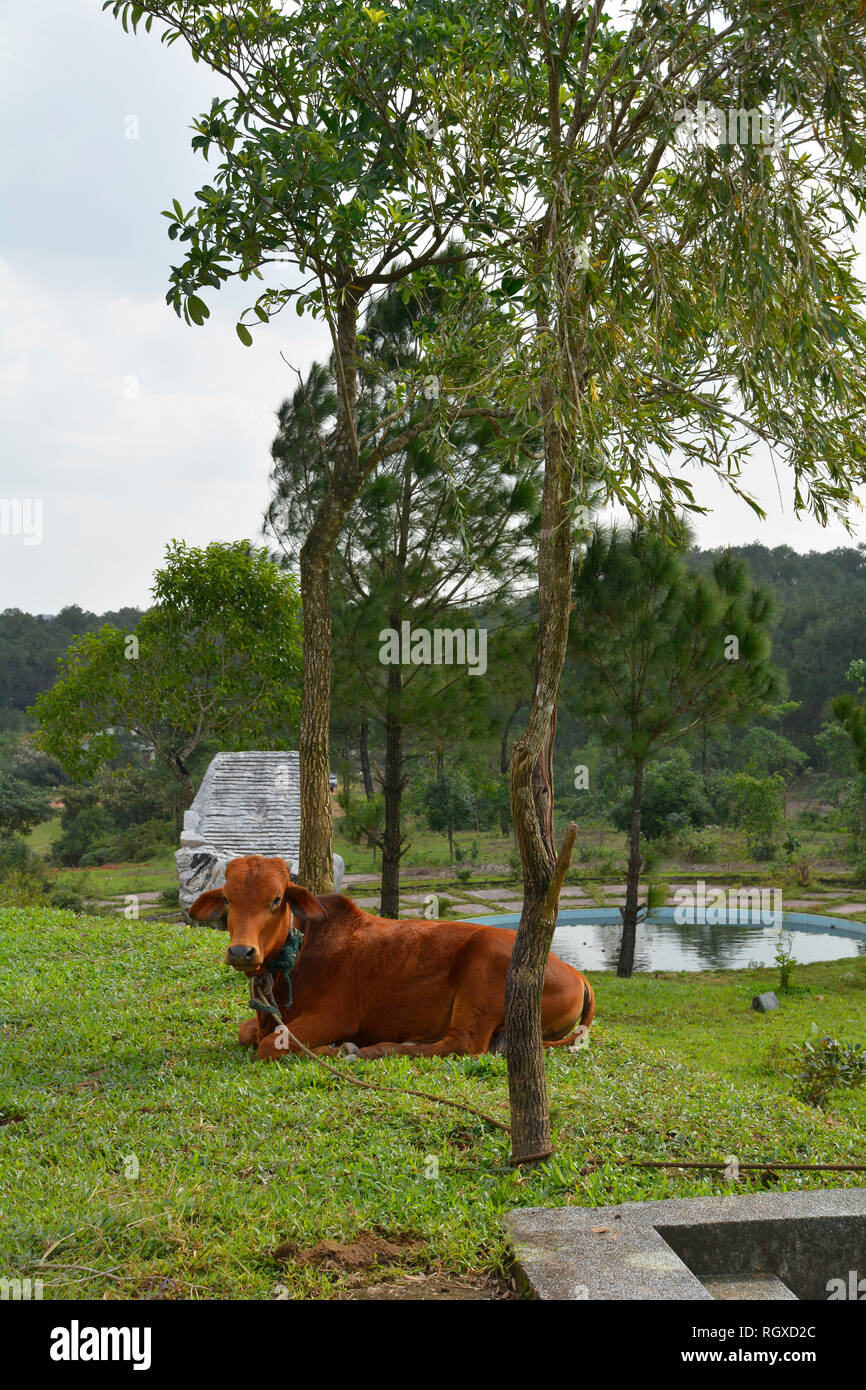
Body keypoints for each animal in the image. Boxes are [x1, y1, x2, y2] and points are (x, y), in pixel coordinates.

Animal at [189, 854, 595, 1062]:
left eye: (276, 899)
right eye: (227, 899)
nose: (241, 951)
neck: (300, 953)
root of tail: (576, 973)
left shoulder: (336, 1016)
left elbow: (267, 1045)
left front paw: (338, 1047)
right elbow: (247, 1033)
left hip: (483, 973)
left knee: (463, 1045)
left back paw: (374, 1049)